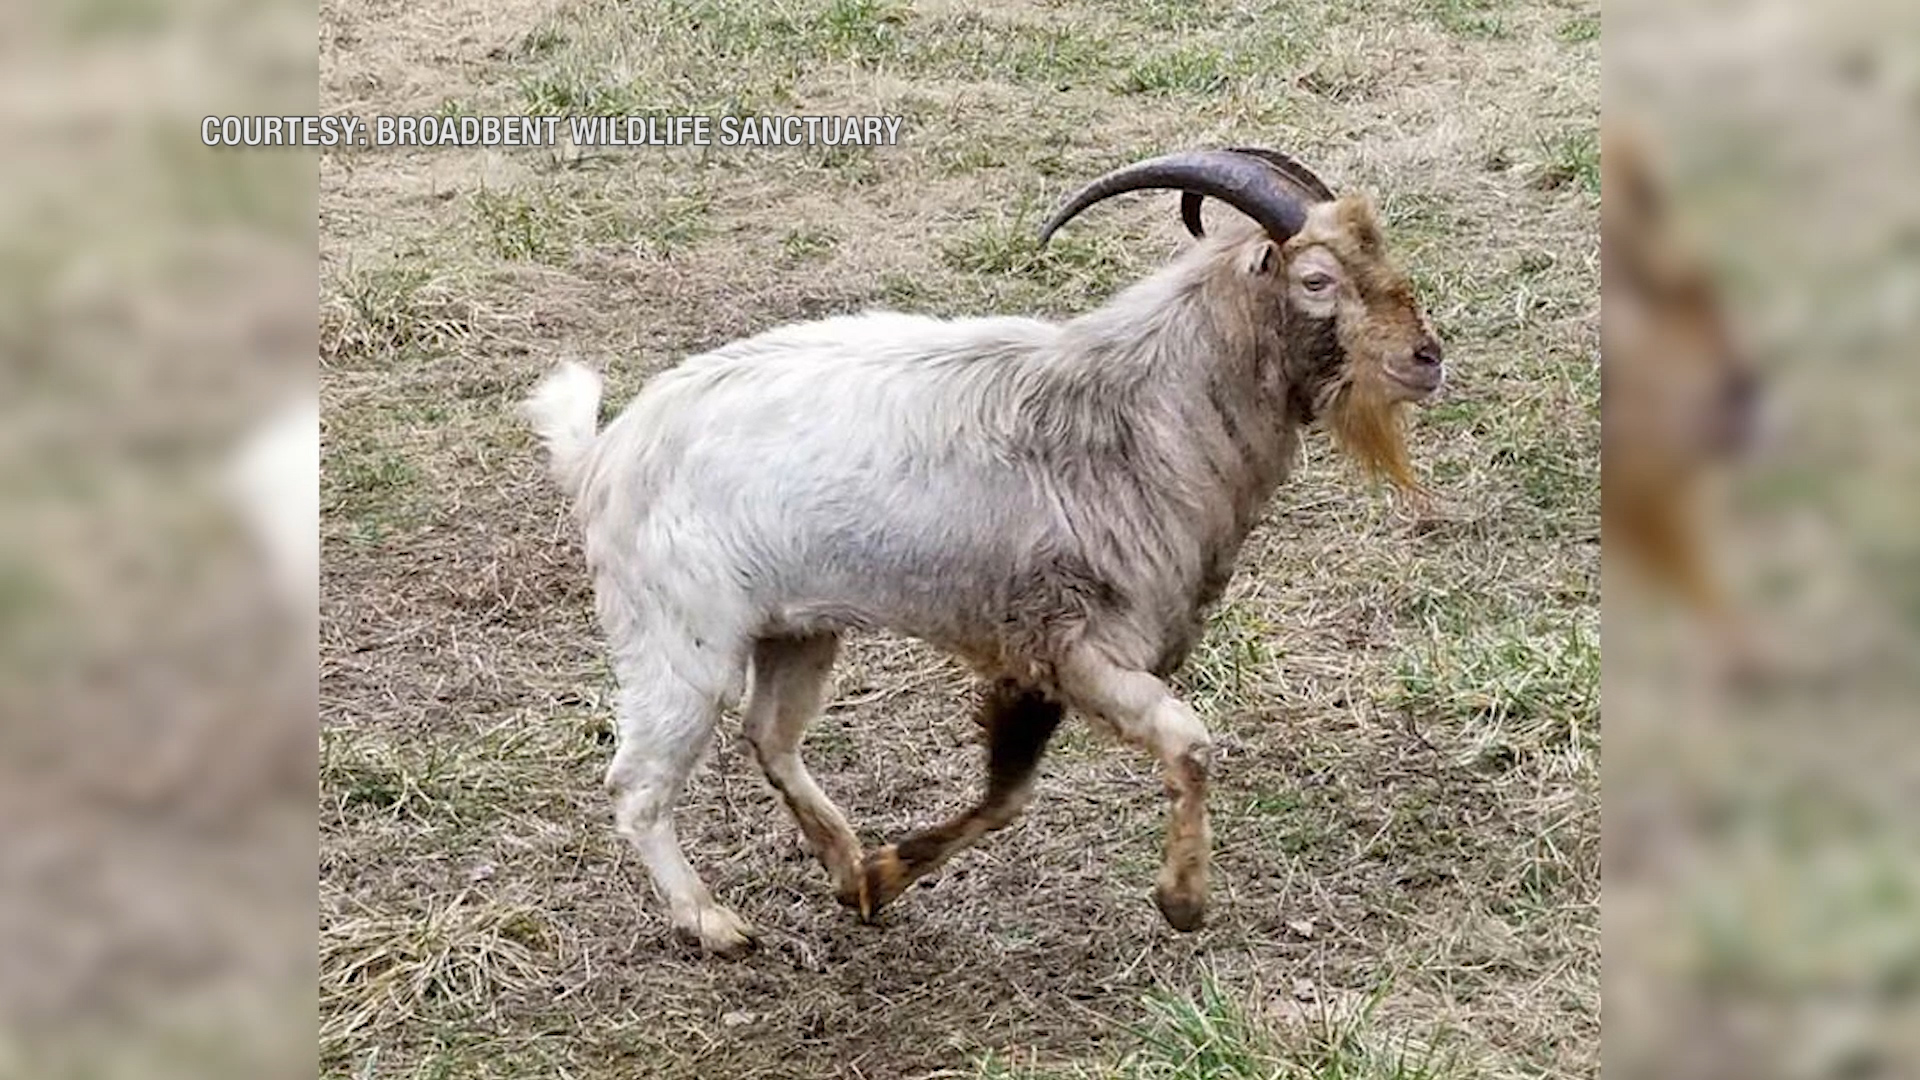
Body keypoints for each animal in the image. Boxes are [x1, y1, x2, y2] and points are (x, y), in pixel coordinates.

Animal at [524, 148, 1444, 954]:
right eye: (1317, 280)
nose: (1427, 357)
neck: (1139, 409)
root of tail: (604, 455)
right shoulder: (1079, 645)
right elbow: (1187, 743)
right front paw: (1183, 902)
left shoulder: (1031, 665)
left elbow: (1008, 792)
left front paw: (882, 877)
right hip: (683, 644)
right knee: (638, 786)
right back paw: (716, 925)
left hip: (799, 629)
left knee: (770, 735)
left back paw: (843, 860)